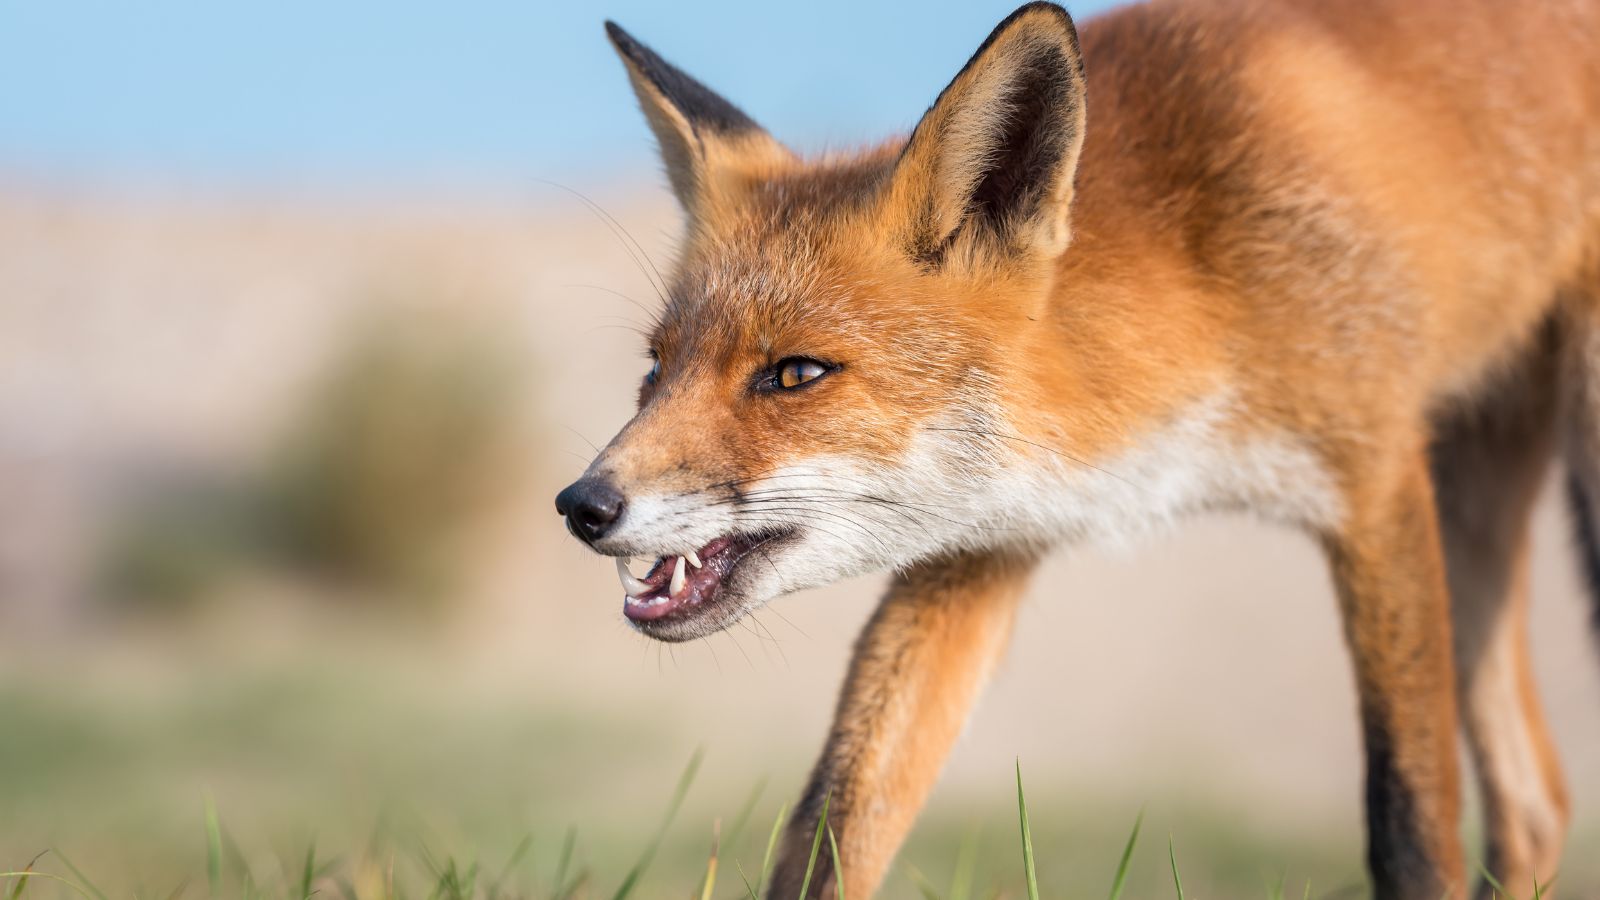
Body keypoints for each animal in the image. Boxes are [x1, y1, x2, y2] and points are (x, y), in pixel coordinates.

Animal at [554, 0, 1600, 897]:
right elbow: (837, 818)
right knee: (1537, 800)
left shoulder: (1376, 482)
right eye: (655, 371)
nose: (581, 505)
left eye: (795, 374)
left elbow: (1408, 823)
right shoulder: (980, 548)